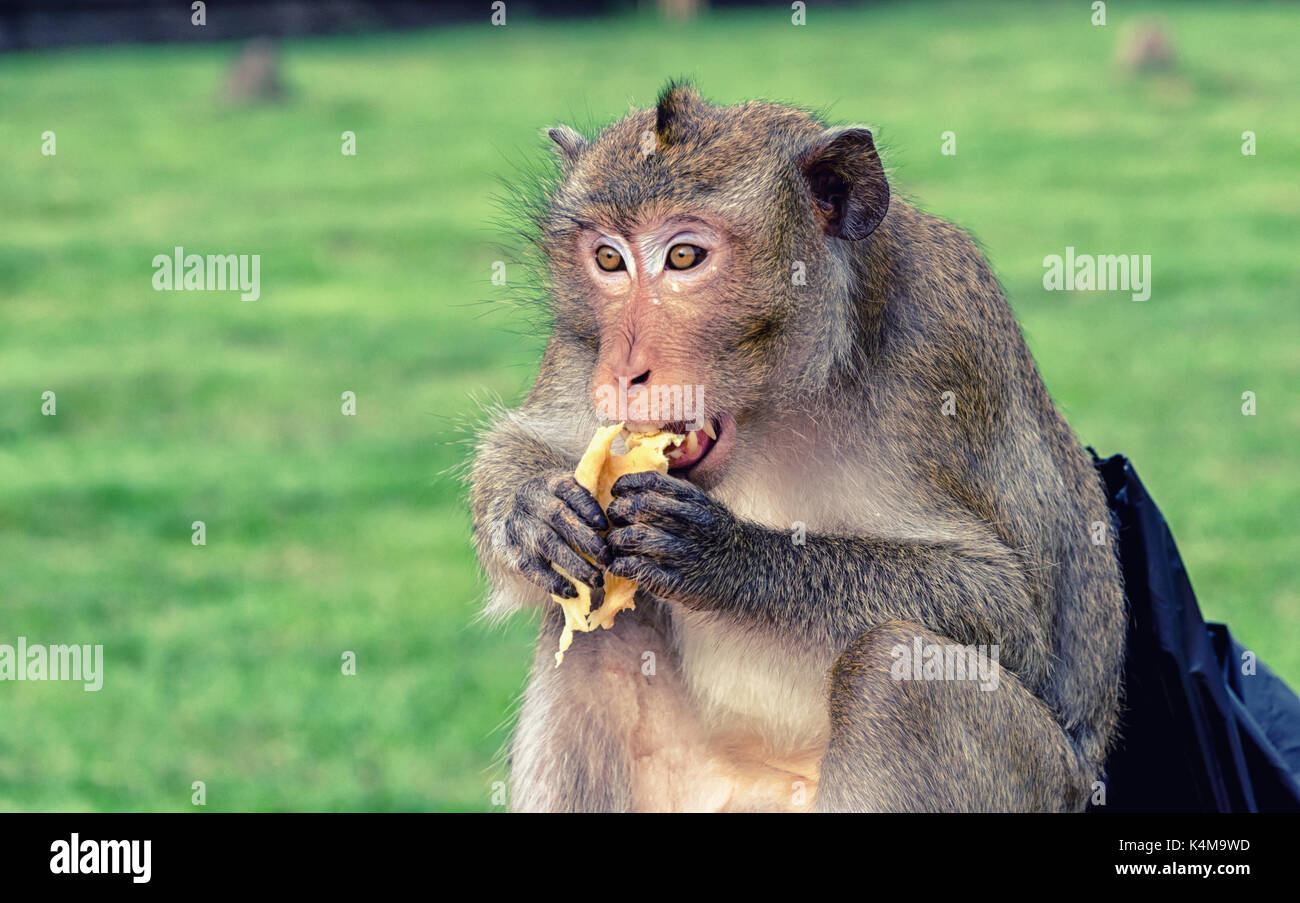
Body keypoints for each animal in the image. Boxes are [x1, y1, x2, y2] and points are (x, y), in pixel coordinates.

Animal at [468, 81, 1126, 812]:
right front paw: (536, 512)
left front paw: (727, 556)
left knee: (896, 673)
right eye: (608, 259)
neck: (782, 400)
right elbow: (521, 443)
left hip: (1042, 778)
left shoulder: (949, 350)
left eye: (684, 257)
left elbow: (1010, 612)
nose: (623, 370)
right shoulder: (580, 342)